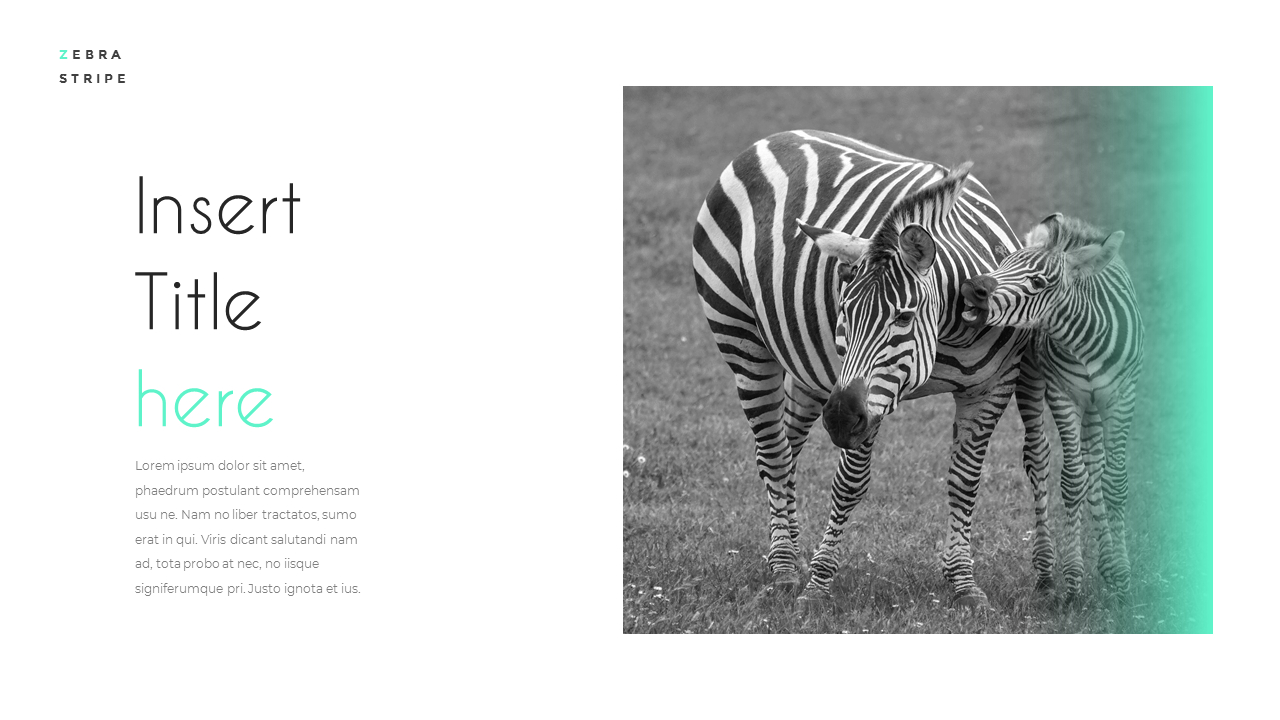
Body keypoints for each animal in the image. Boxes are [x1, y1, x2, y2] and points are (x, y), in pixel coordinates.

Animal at [693, 130, 1055, 607]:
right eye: (845, 312)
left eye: (903, 317)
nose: (840, 419)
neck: (951, 329)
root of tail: (772, 138)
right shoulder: (866, 396)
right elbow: (849, 484)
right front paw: (818, 584)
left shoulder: (991, 386)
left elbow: (965, 480)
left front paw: (963, 582)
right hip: (743, 340)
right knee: (772, 453)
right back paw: (787, 566)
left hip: (811, 372)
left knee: (786, 445)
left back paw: (786, 552)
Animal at [960, 213, 1144, 602]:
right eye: (1001, 264)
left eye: (1038, 282)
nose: (971, 289)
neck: (1085, 339)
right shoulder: (1063, 394)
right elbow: (1072, 480)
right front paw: (1072, 579)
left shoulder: (1122, 396)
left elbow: (1114, 481)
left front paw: (1121, 575)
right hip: (1031, 378)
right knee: (1039, 458)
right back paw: (1046, 573)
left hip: (1094, 405)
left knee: (1095, 463)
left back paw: (1107, 562)